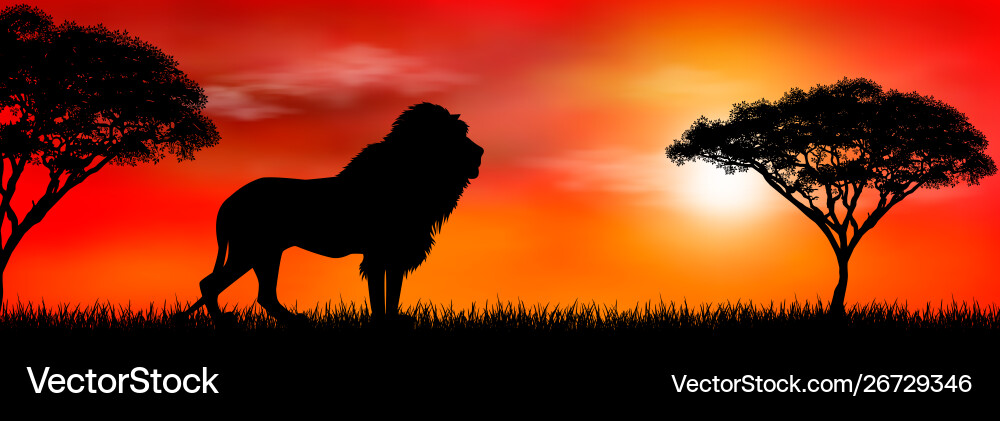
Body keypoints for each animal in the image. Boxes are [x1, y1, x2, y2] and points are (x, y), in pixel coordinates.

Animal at [176, 103, 483, 327]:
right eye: (456, 136)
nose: (480, 151)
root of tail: (228, 201)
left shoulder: (395, 254)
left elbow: (392, 296)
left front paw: (393, 322)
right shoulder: (378, 255)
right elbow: (379, 298)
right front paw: (381, 325)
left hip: (266, 253)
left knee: (263, 295)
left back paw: (297, 323)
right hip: (251, 250)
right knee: (211, 284)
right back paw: (226, 325)